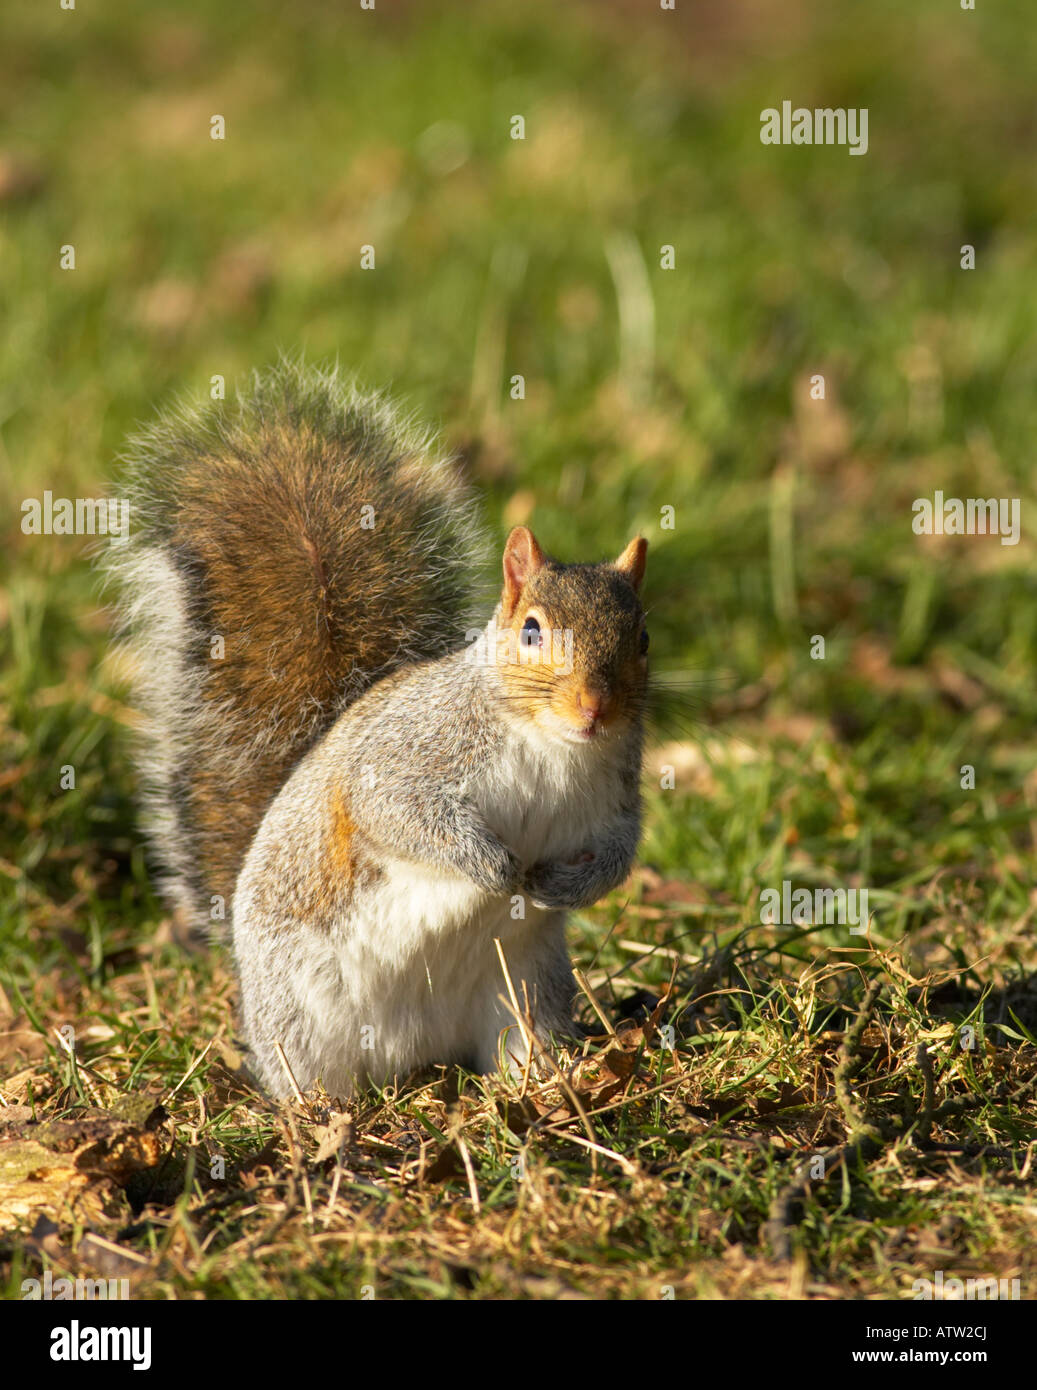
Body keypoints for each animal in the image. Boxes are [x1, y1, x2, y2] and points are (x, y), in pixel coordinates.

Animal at [110, 360, 649, 1097]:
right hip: (301, 1018)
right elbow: (396, 810)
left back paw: (546, 1082)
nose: (595, 708)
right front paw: (493, 865)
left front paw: (558, 887)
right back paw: (318, 1112)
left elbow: (618, 856)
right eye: (532, 631)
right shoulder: (410, 750)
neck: (552, 747)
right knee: (306, 1075)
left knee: (522, 1037)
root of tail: (415, 1053)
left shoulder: (616, 797)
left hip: (524, 989)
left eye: (643, 638)